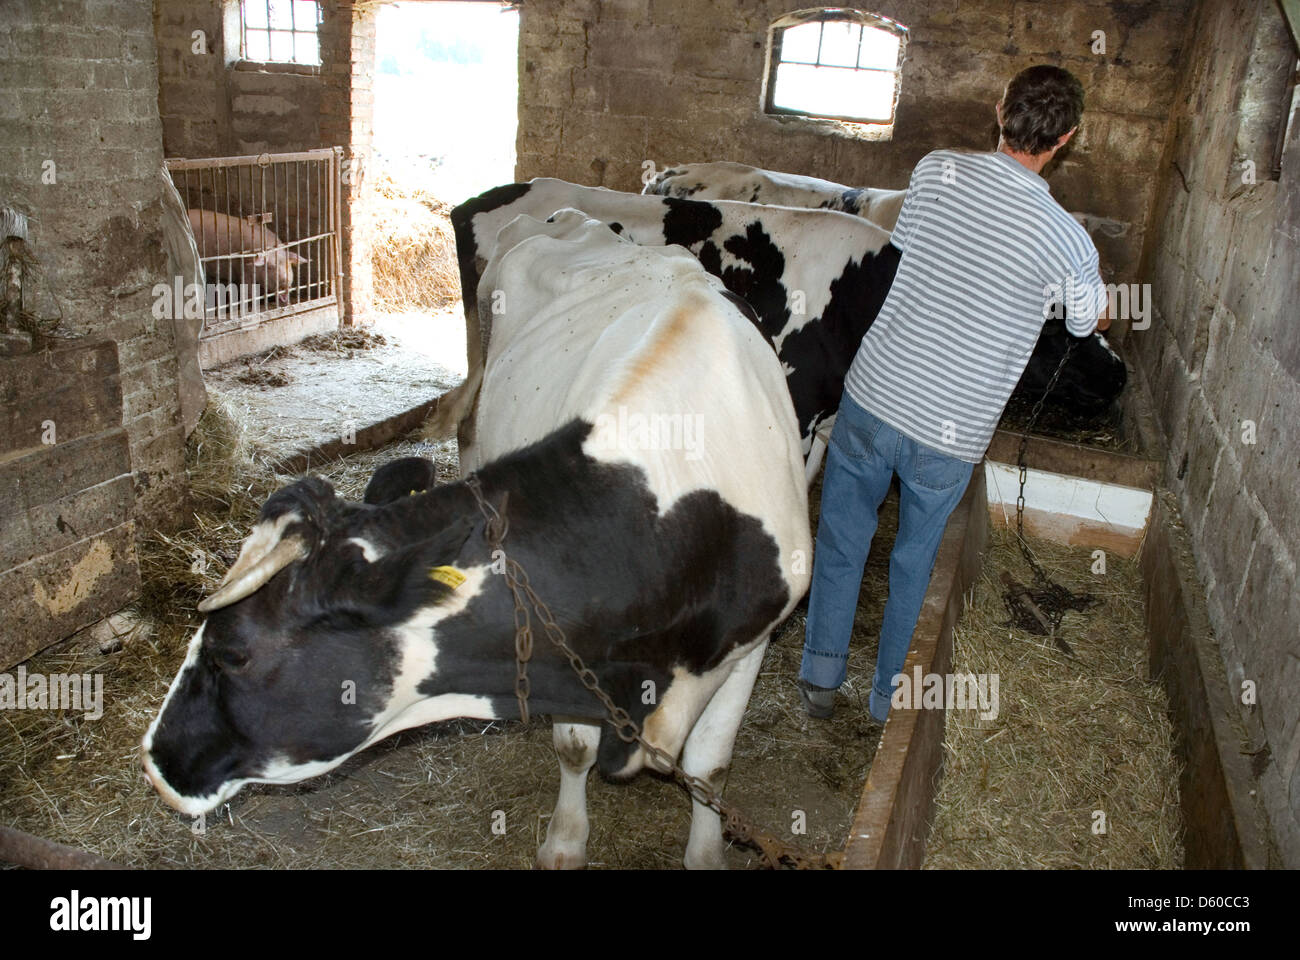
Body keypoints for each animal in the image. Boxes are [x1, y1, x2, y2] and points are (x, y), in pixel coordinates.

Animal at [141, 209, 813, 871]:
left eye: (230, 652)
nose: (153, 761)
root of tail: (575, 217)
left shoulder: (750, 642)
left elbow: (711, 768)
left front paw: (705, 850)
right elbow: (574, 748)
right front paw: (565, 843)